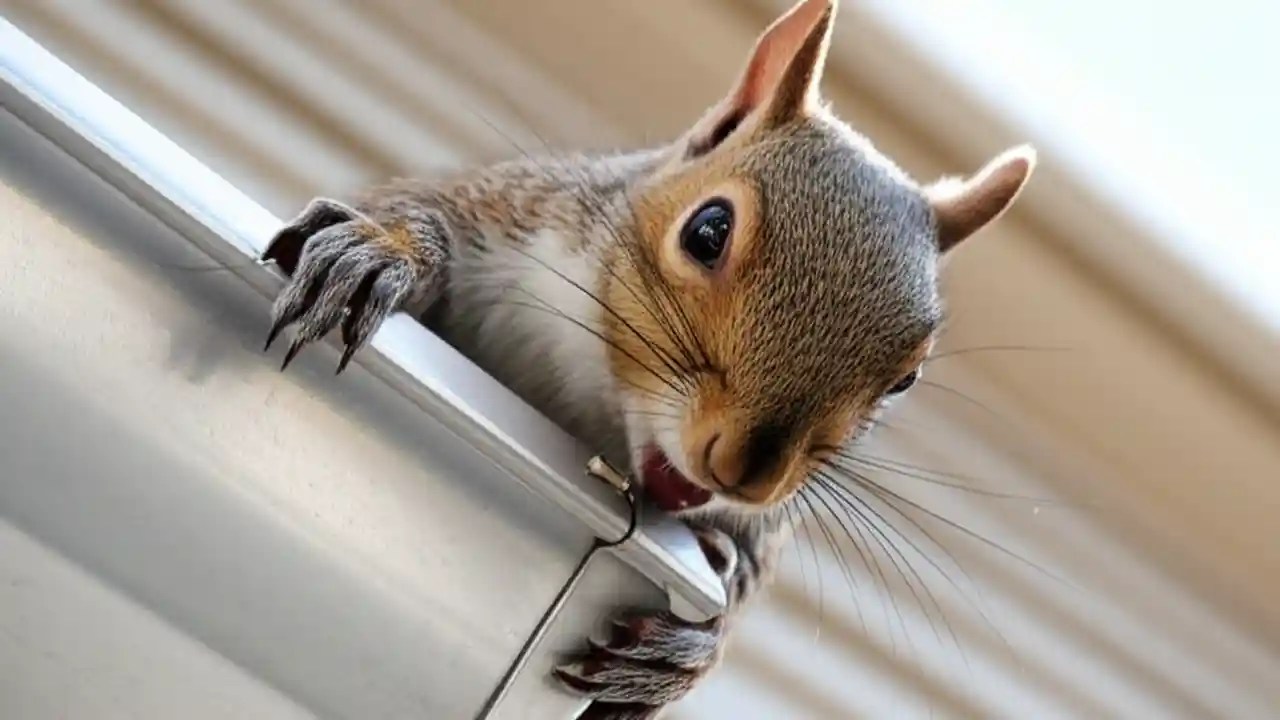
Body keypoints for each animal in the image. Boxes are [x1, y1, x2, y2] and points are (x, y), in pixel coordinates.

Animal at [260, 0, 1035, 717]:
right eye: (707, 230)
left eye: (907, 378)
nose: (744, 472)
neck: (590, 392)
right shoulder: (508, 208)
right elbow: (416, 213)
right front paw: (382, 251)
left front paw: (689, 652)